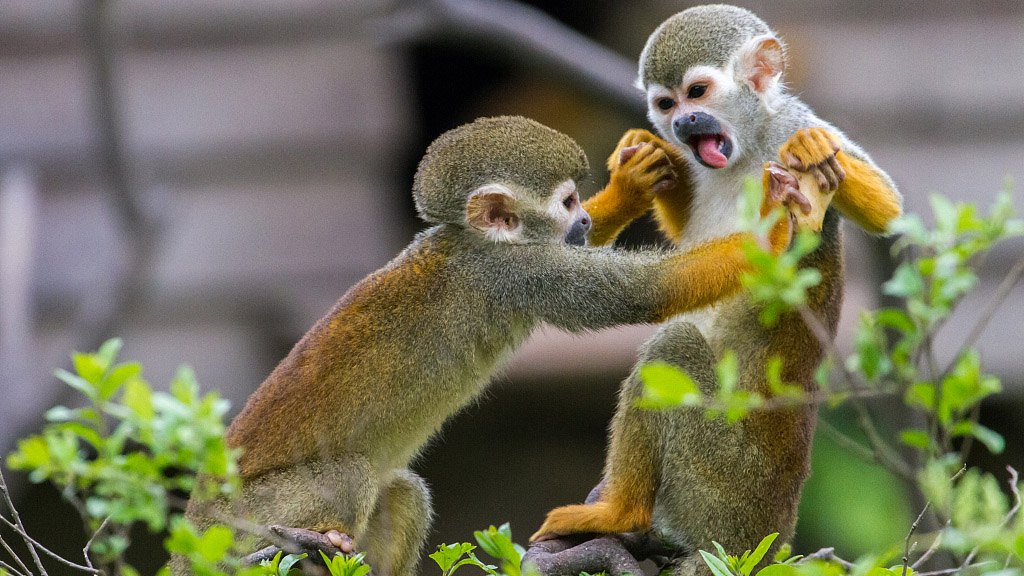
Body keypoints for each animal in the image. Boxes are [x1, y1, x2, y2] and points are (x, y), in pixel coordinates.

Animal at [172, 115, 811, 576]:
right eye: (565, 204)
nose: (581, 222)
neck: (474, 242)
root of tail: (189, 534)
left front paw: (627, 190)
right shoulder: (519, 273)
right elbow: (645, 294)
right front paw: (784, 224)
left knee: (404, 492)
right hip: (242, 524)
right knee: (350, 474)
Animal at [530, 6, 903, 576]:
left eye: (697, 92)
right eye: (666, 103)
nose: (683, 122)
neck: (746, 150)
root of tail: (759, 540)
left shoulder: (791, 120)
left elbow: (886, 211)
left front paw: (816, 161)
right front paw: (637, 175)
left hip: (716, 485)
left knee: (673, 347)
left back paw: (622, 512)